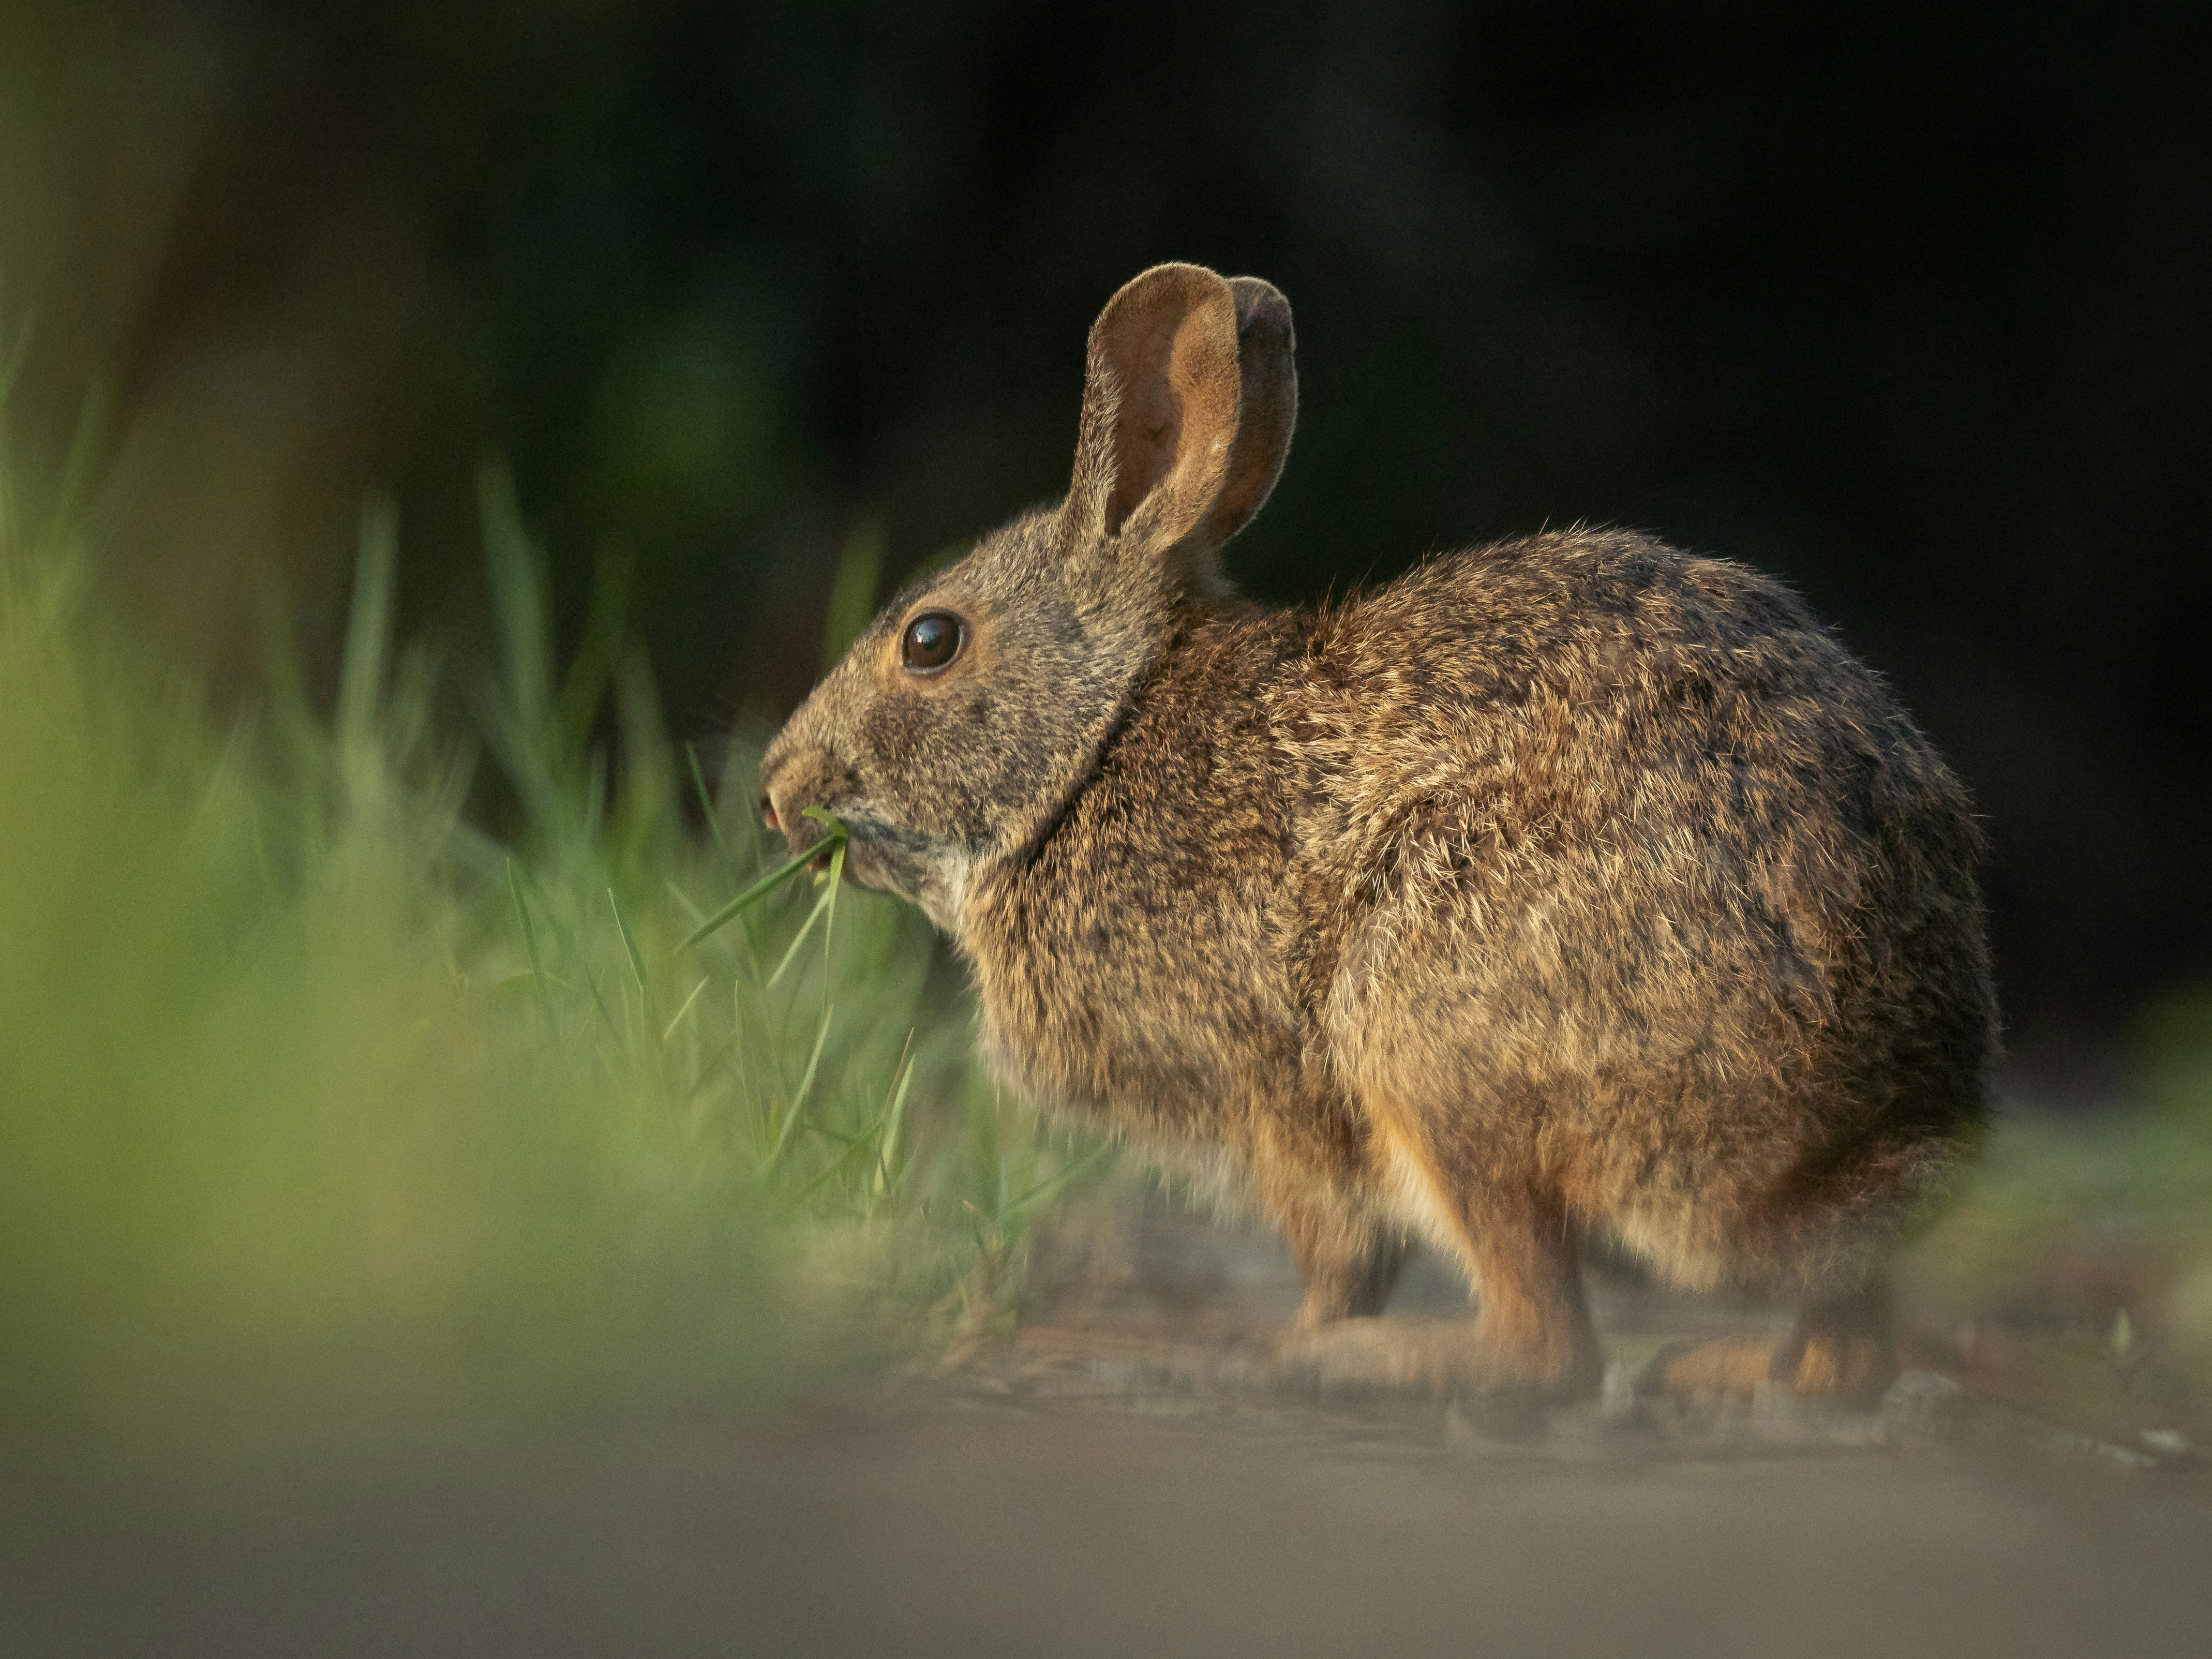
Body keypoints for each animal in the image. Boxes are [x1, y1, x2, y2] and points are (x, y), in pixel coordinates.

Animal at [757, 261, 1997, 1404]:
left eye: (929, 640)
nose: (775, 791)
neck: (1099, 742)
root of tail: (1859, 1141)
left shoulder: (1267, 1091)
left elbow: (1338, 1255)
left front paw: (1286, 1341)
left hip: (1430, 1037)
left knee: (1548, 1341)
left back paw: (1367, 1363)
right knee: (1840, 1349)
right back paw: (1724, 1370)